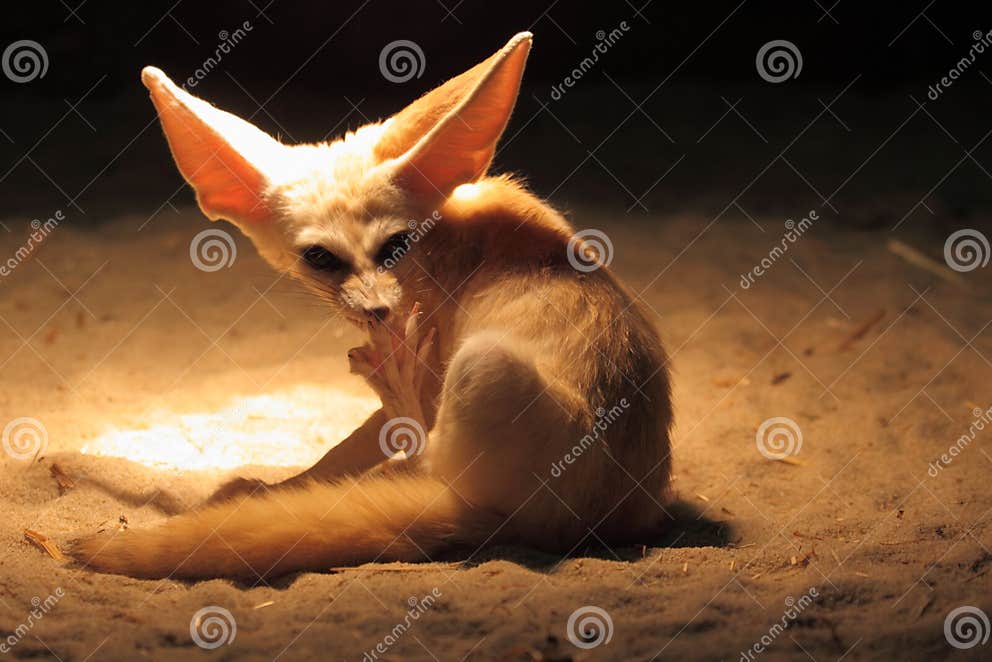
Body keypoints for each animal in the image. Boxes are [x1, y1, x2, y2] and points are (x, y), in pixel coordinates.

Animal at [70, 32, 674, 580]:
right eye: (320, 257)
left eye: (395, 246)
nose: (381, 312)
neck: (440, 238)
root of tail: (571, 525)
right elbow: (341, 453)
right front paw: (278, 487)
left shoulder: (434, 342)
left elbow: (369, 438)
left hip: (481, 365)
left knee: (421, 451)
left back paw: (396, 384)